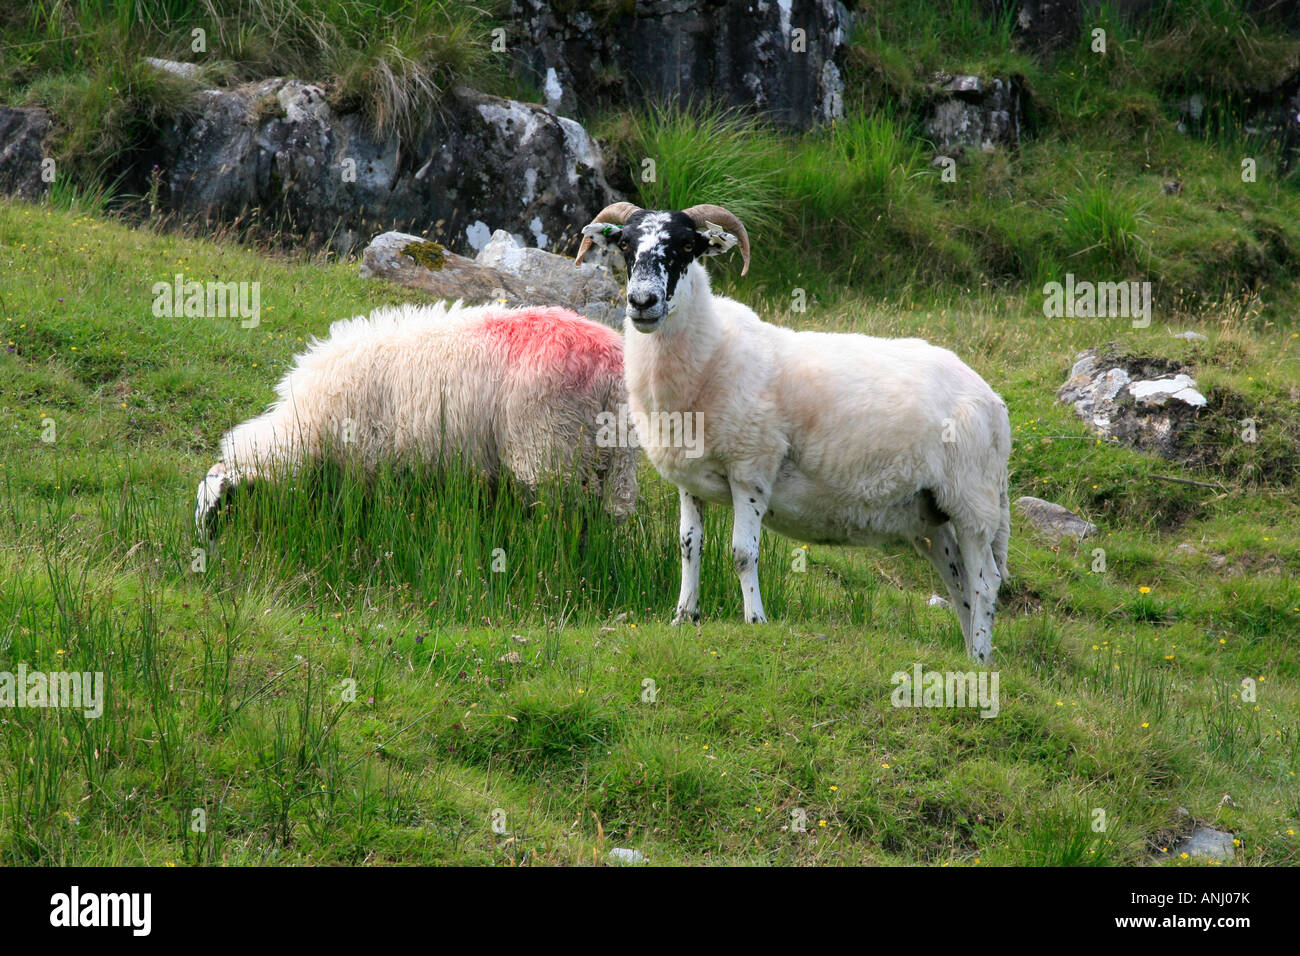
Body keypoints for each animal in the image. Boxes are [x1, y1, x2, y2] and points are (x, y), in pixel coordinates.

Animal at [195, 300, 638, 536]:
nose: (208, 562)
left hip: (549, 444)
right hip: (616, 451)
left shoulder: (369, 460)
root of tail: (611, 359)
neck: (307, 426)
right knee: (615, 513)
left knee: (561, 514)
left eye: (219, 510)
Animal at [575, 203, 1012, 662]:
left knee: (985, 583)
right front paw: (684, 616)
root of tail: (993, 400)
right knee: (958, 581)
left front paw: (755, 620)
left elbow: (743, 553)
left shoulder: (751, 470)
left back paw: (981, 659)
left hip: (973, 501)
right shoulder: (689, 479)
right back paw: (969, 654)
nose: (642, 301)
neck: (710, 353)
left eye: (688, 246)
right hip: (930, 513)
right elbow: (688, 546)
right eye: (625, 244)